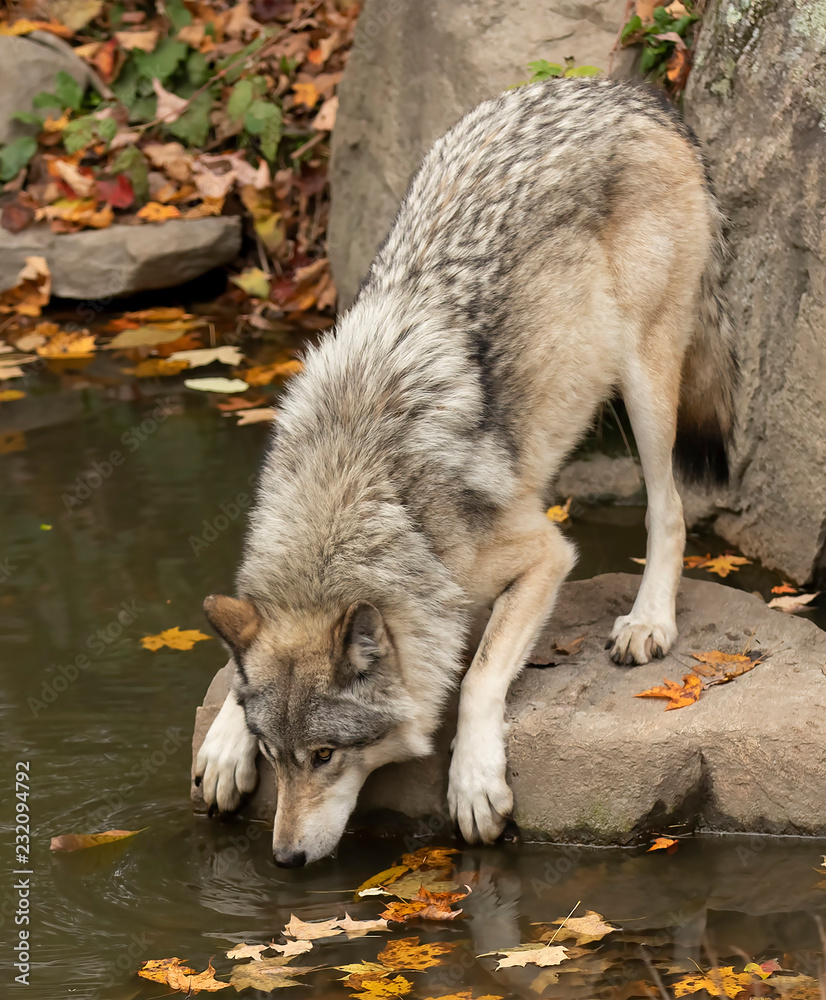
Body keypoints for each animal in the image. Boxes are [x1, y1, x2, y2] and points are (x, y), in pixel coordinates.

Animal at [194, 79, 738, 867]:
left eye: (327, 756)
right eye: (275, 756)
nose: (286, 858)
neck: (357, 484)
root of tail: (631, 95)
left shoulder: (545, 554)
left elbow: (479, 677)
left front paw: (475, 783)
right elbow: (242, 677)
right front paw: (222, 744)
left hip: (646, 383)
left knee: (668, 508)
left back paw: (648, 622)